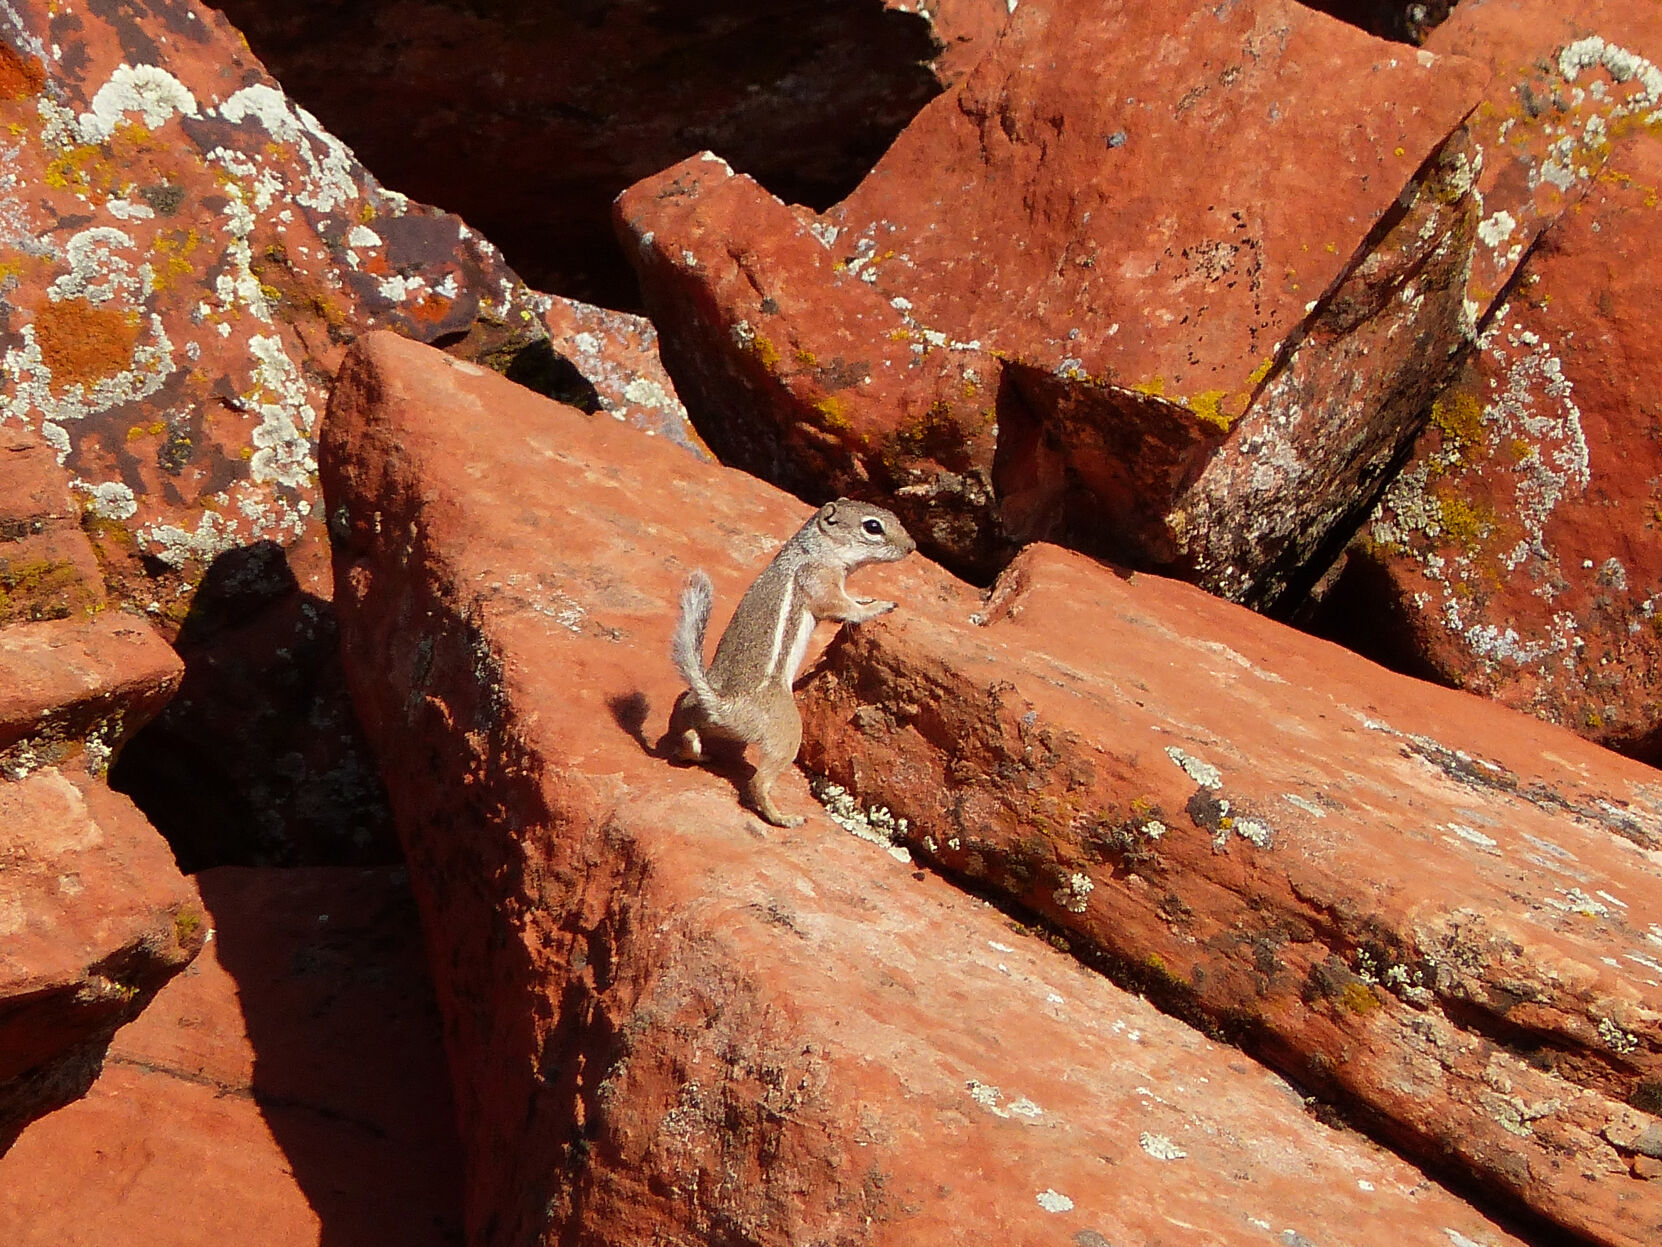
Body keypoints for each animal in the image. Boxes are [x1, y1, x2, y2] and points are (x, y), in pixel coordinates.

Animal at [669, 498, 916, 827]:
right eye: (872, 526)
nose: (912, 546)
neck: (815, 549)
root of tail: (724, 704)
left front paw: (865, 598)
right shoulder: (819, 581)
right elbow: (843, 608)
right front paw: (877, 606)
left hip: (695, 709)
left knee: (689, 733)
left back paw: (695, 753)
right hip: (788, 733)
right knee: (758, 782)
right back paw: (783, 818)